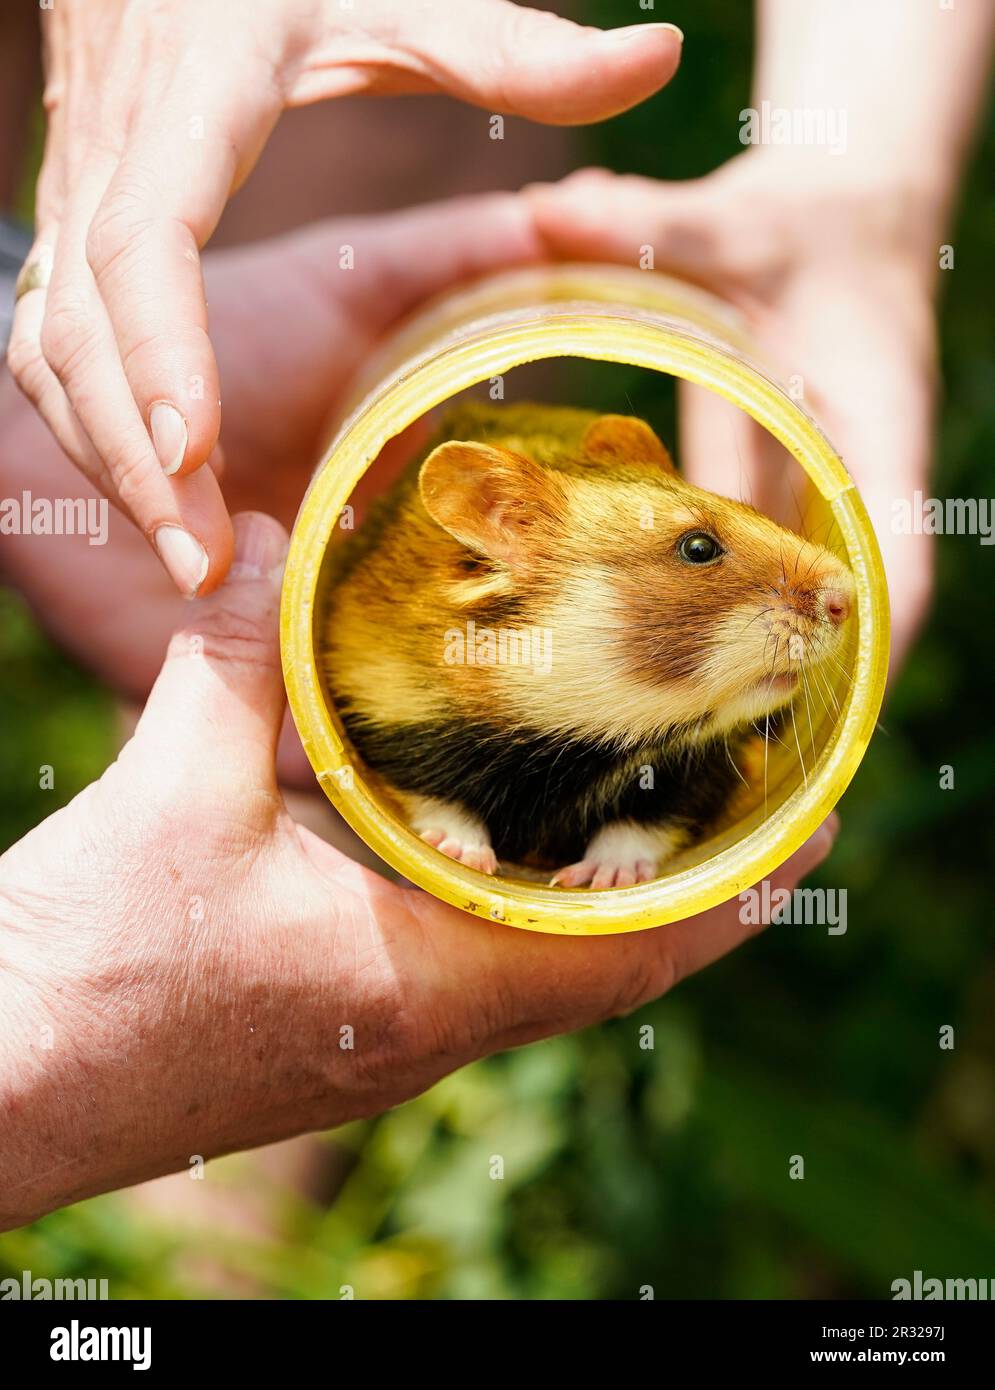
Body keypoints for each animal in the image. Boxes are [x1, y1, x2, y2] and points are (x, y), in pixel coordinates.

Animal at [318, 402, 854, 888]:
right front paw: (462, 856)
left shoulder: (698, 774)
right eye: (698, 548)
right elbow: (435, 797)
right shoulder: (389, 715)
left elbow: (646, 822)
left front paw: (602, 878)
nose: (847, 597)